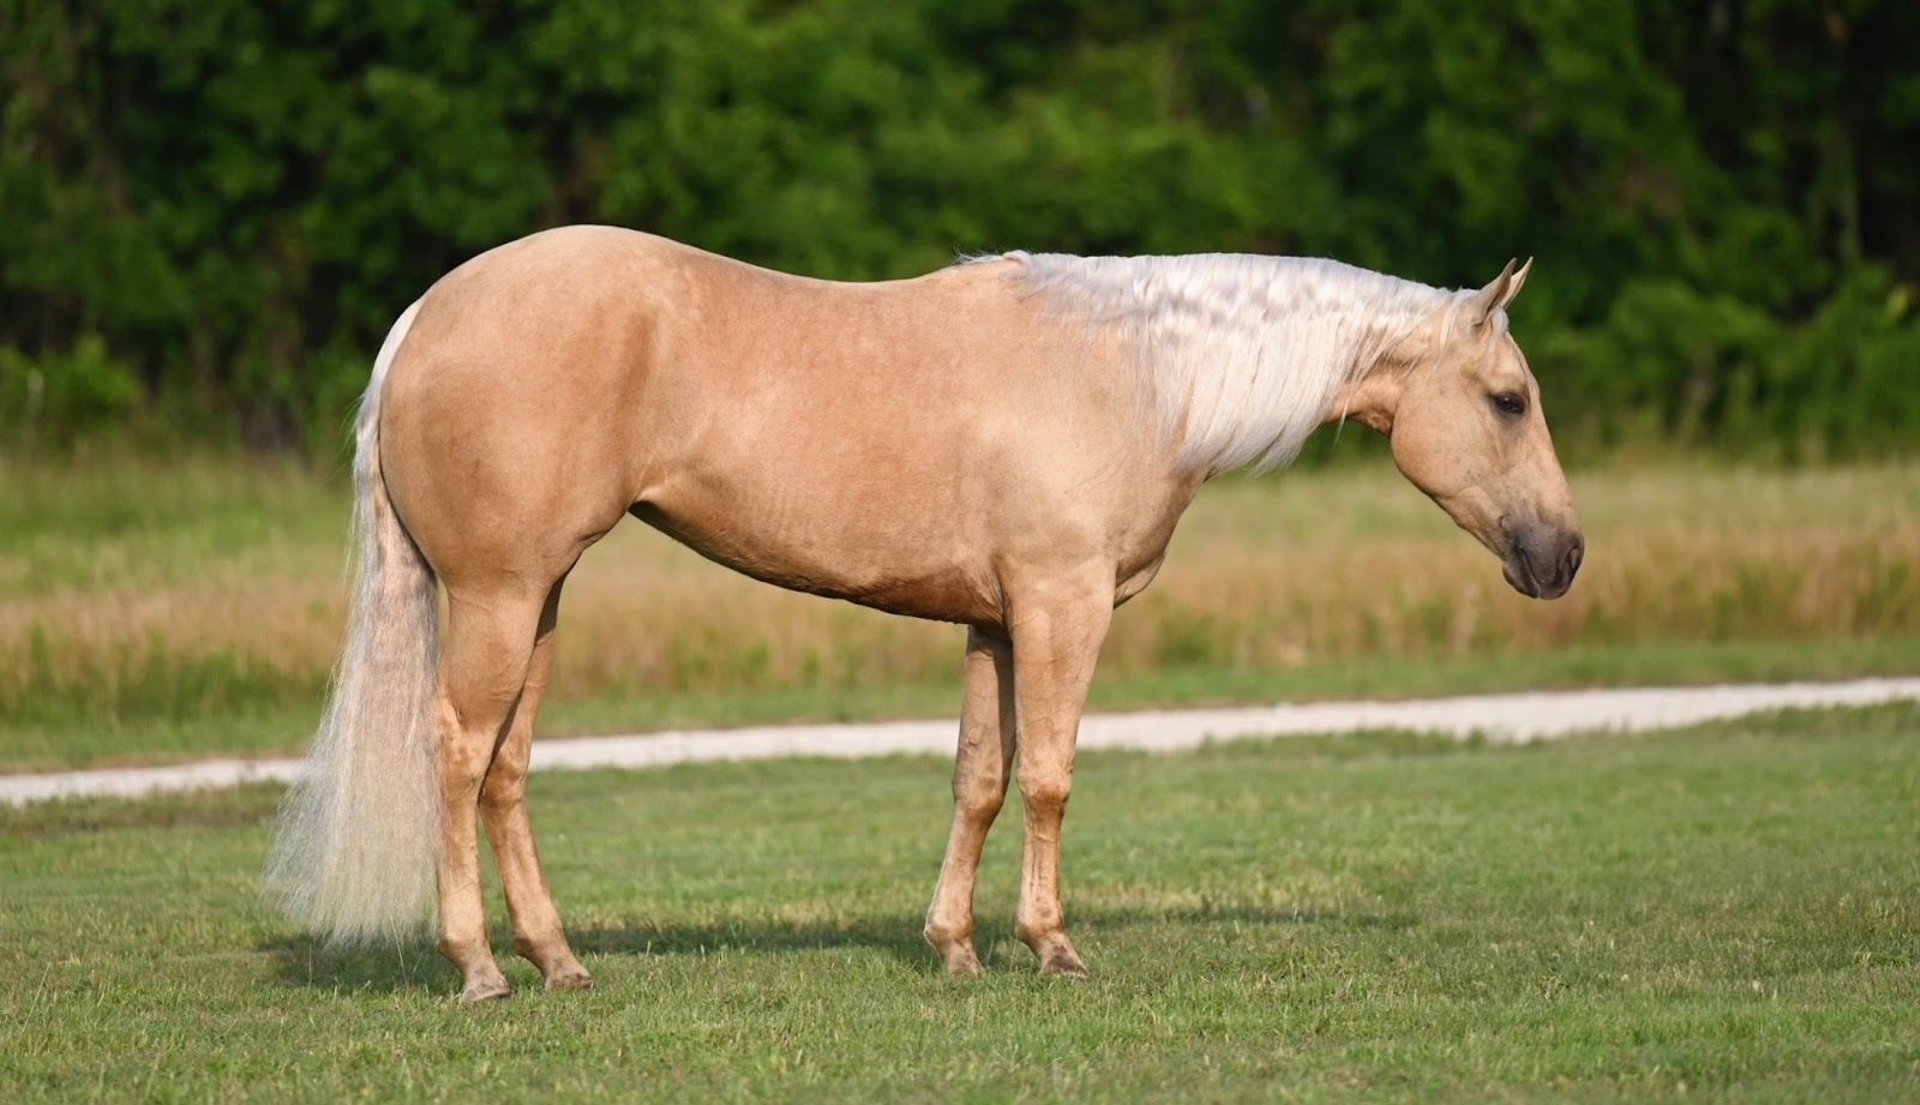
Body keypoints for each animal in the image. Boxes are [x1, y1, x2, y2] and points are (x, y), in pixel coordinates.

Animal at [266, 227, 1583, 1002]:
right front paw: (1052, 945)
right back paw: (480, 967)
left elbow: (980, 780)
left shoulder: (996, 620)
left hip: (537, 600)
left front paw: (953, 945)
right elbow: (1049, 776)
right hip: (498, 597)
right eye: (1509, 400)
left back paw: (557, 958)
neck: (1133, 374)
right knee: (453, 752)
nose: (1563, 555)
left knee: (506, 769)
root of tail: (426, 314)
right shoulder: (1061, 606)